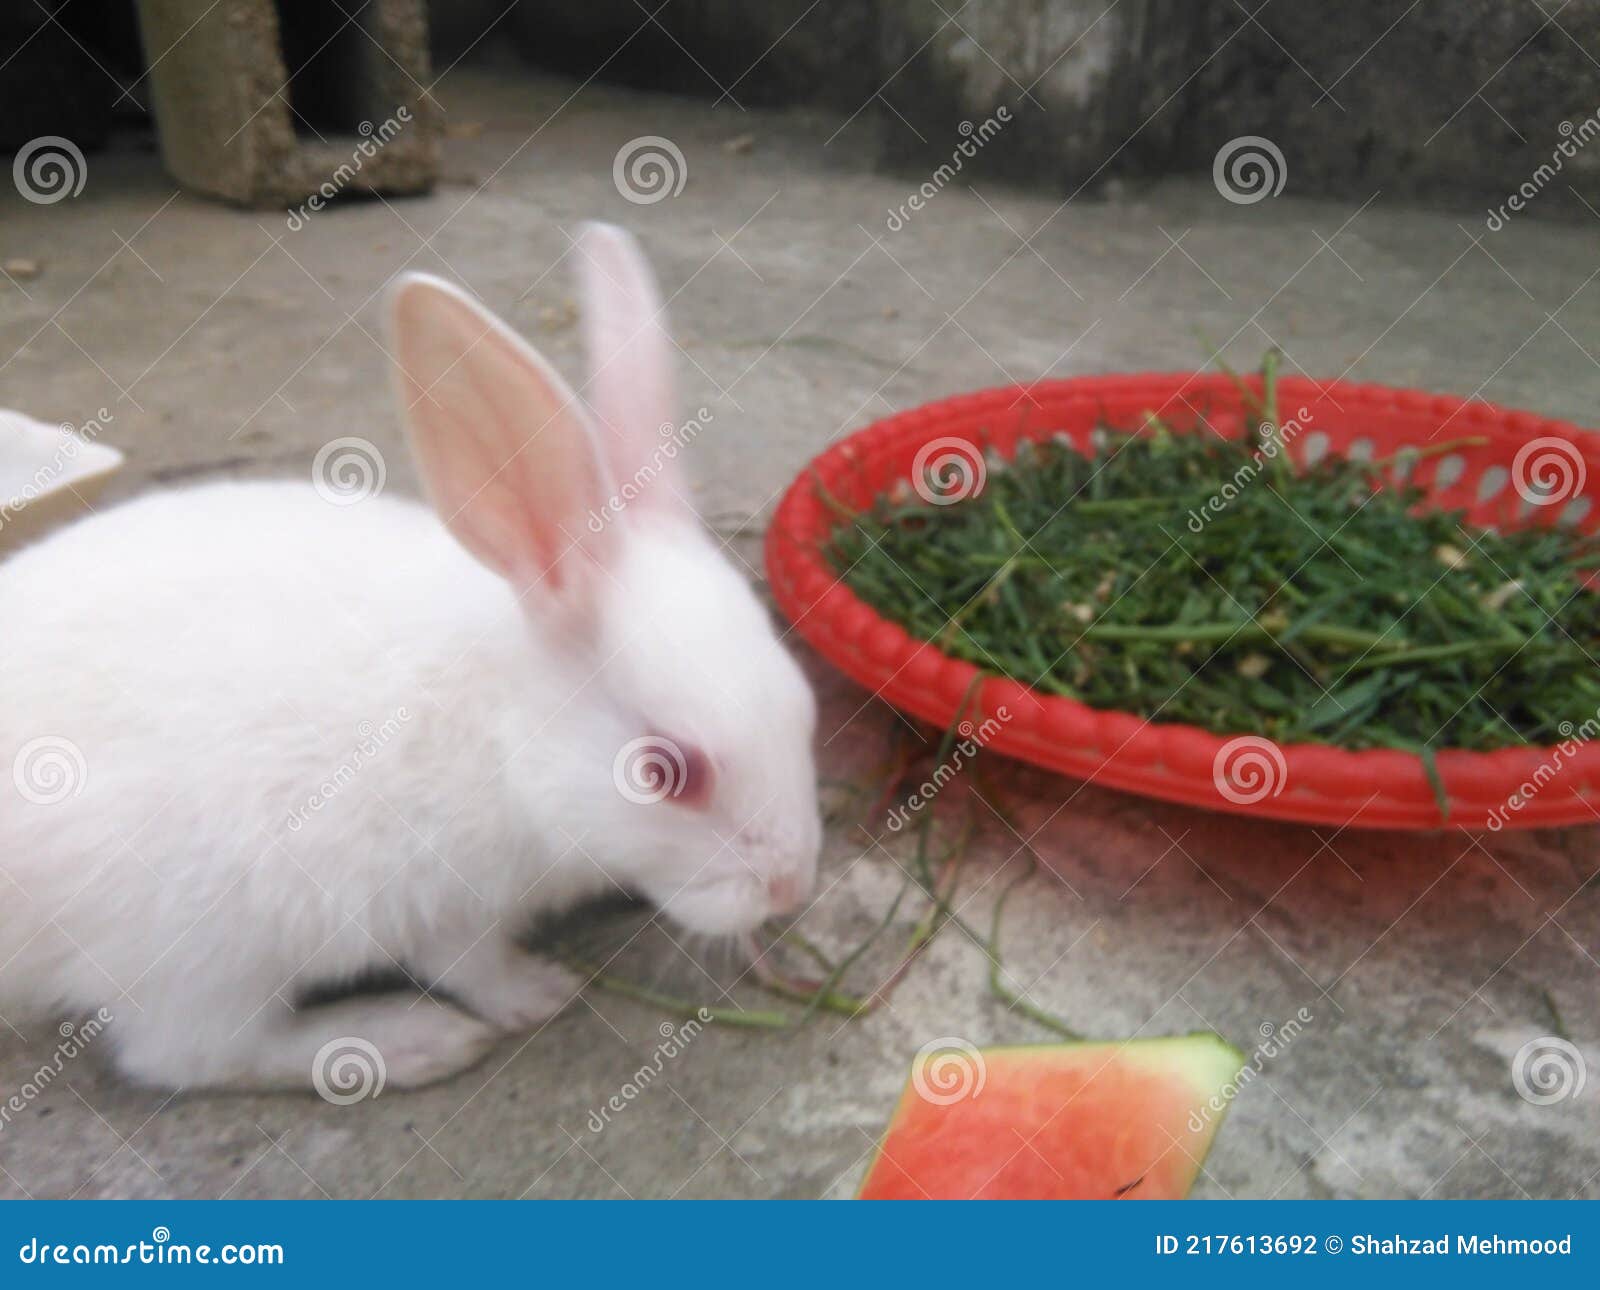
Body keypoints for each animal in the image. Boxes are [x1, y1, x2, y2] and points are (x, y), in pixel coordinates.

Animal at [0, 223, 821, 1093]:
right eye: (666, 772)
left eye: (805, 710)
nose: (789, 886)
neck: (502, 732)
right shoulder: (447, 902)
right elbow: (471, 966)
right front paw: (539, 994)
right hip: (196, 951)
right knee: (194, 1055)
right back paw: (408, 1040)